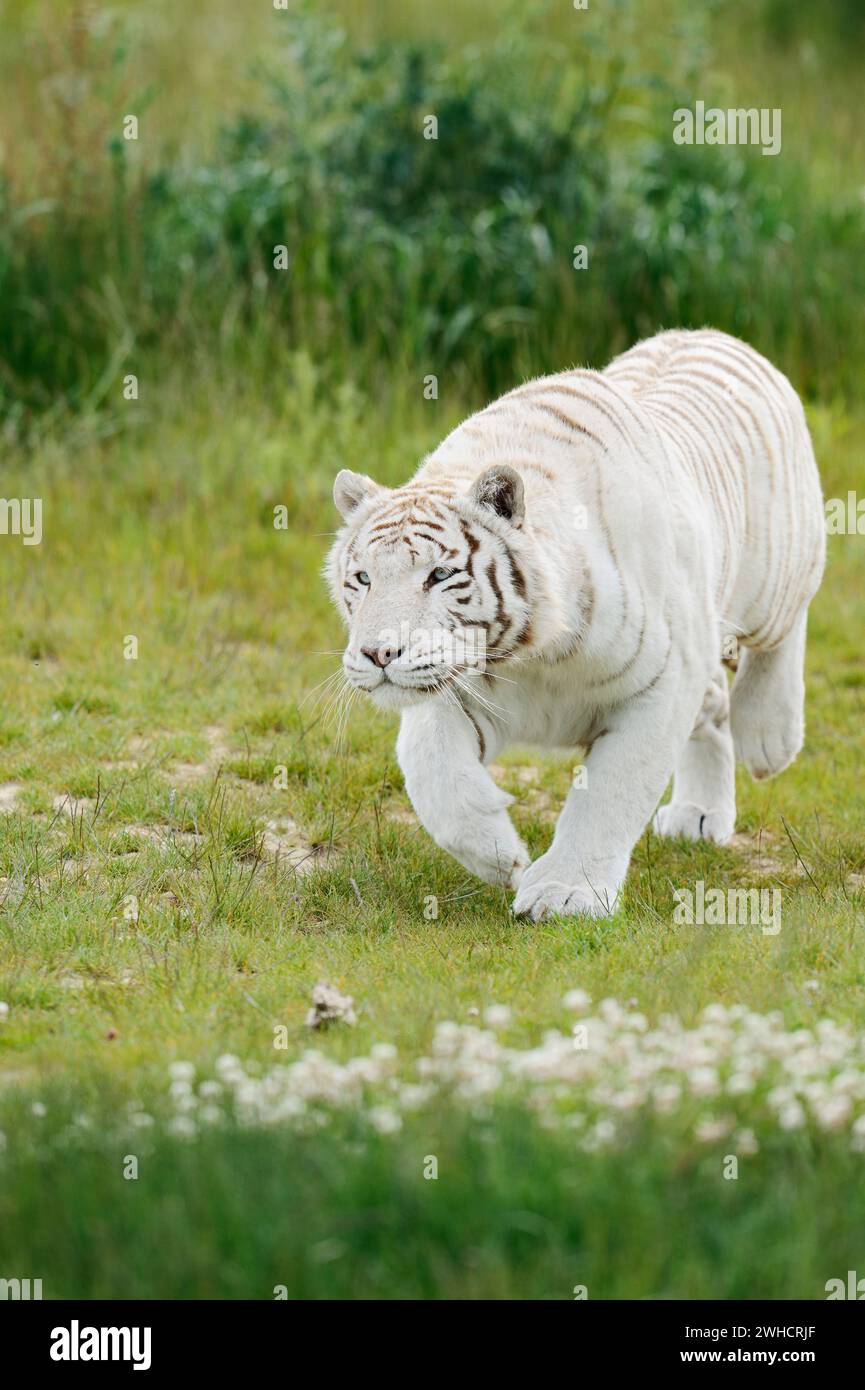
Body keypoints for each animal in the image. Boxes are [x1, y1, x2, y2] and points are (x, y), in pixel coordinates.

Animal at [325, 329, 826, 920]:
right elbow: (431, 769)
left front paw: (564, 895)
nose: (379, 654)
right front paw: (500, 855)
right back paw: (698, 817)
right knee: (713, 706)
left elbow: (611, 791)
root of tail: (707, 332)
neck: (534, 654)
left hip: (776, 573)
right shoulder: (459, 689)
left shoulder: (663, 682)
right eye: (363, 578)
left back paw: (769, 737)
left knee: (783, 631)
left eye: (440, 574)